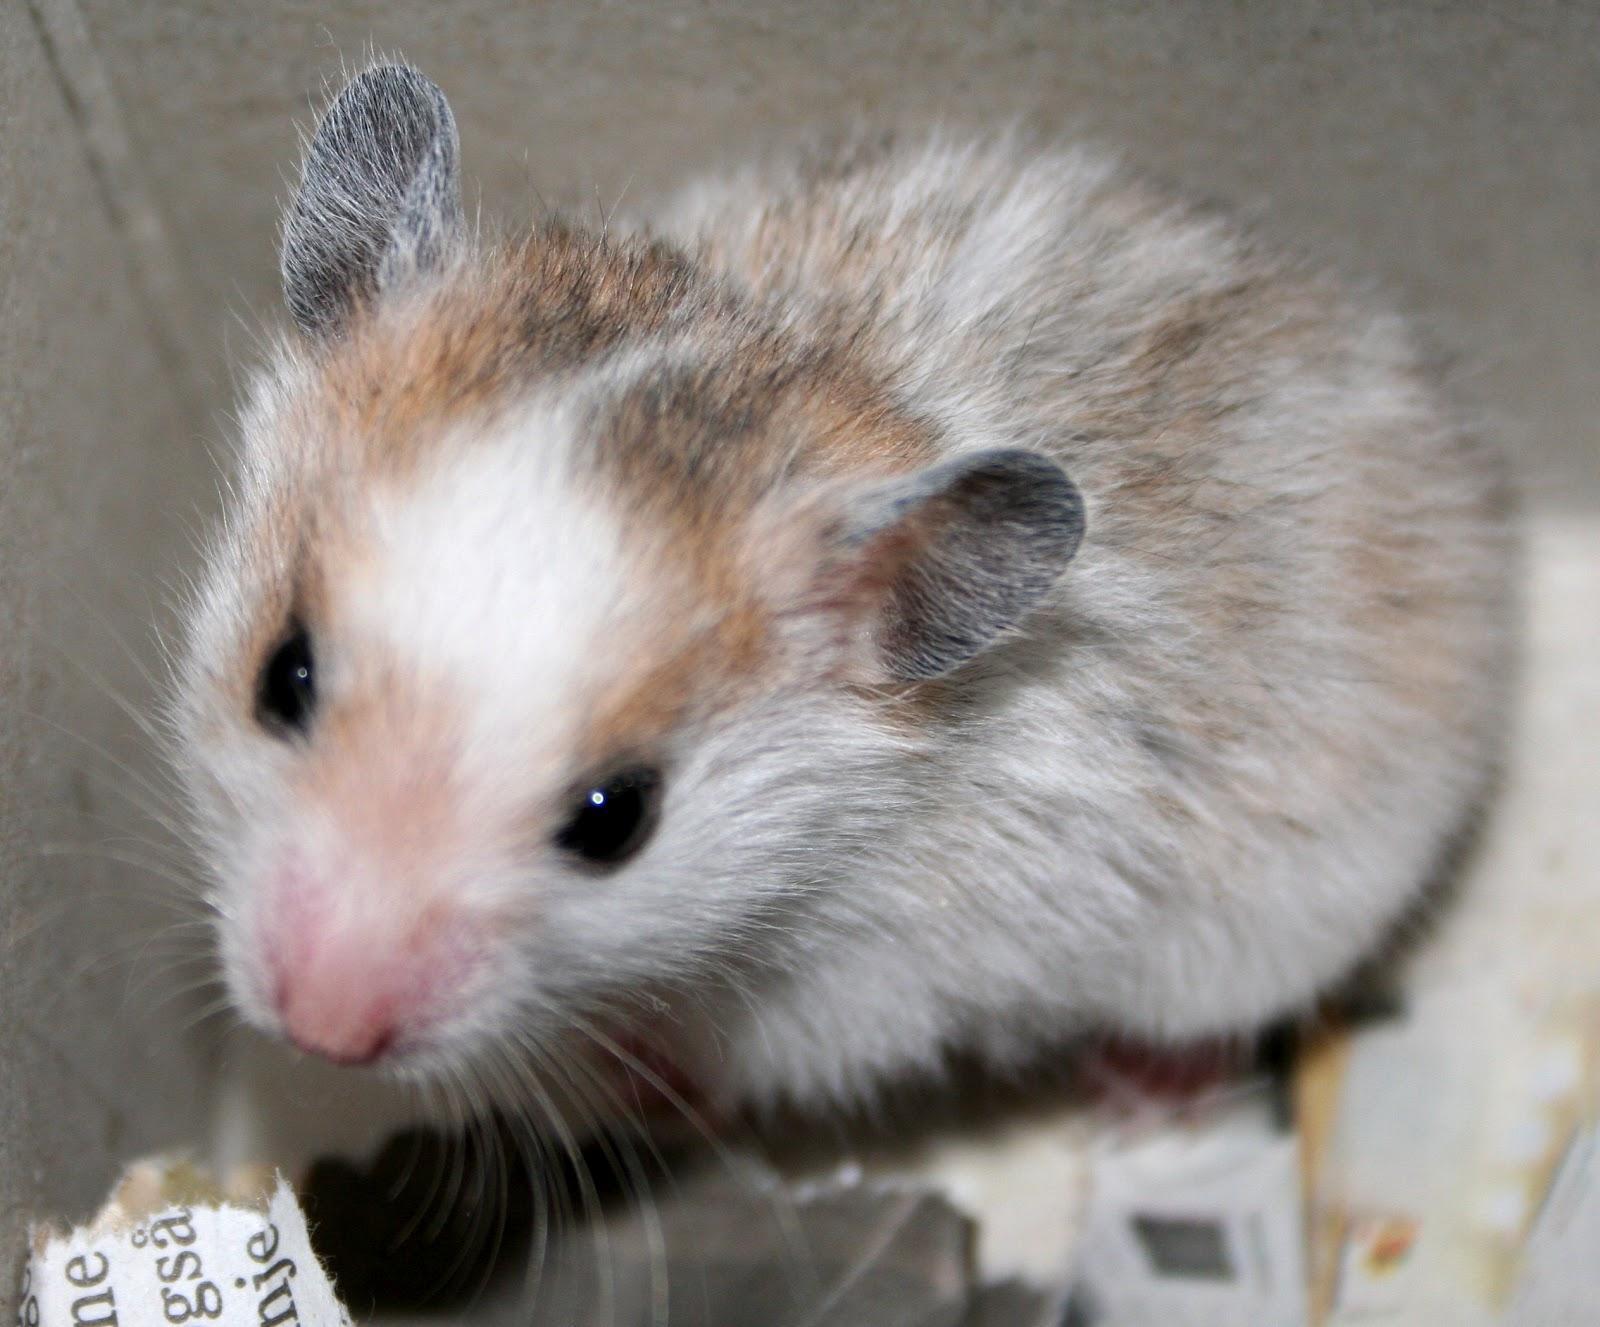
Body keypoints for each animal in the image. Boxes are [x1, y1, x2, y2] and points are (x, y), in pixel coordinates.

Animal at [173, 64, 1512, 1120]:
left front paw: (626, 1081)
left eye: (617, 820)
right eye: (281, 676)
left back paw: (1138, 1095)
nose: (318, 1029)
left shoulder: (858, 993)